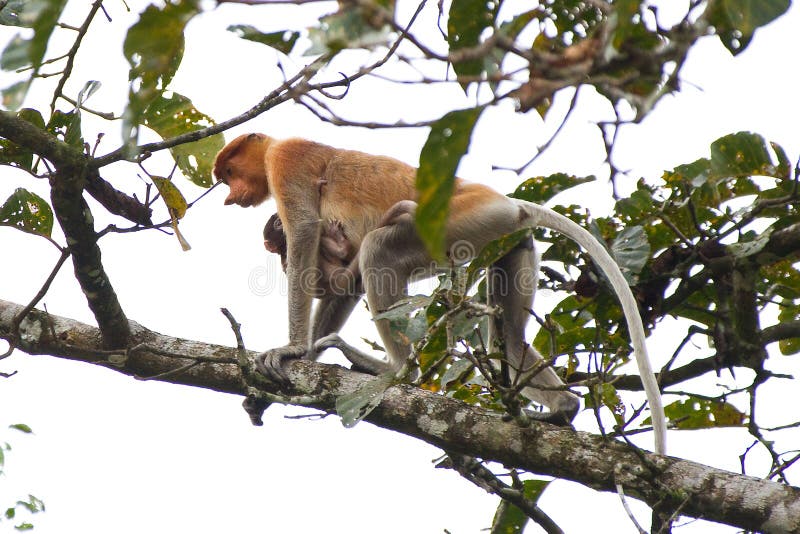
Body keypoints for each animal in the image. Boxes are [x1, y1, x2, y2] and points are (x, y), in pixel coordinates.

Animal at [214, 133, 666, 454]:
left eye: (230, 171)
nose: (230, 197)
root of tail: (512, 205)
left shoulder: (285, 162)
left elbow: (307, 233)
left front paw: (290, 350)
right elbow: (347, 284)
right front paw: (297, 364)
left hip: (458, 221)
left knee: (379, 249)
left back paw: (397, 371)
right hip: (507, 243)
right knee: (508, 335)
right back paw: (562, 409)